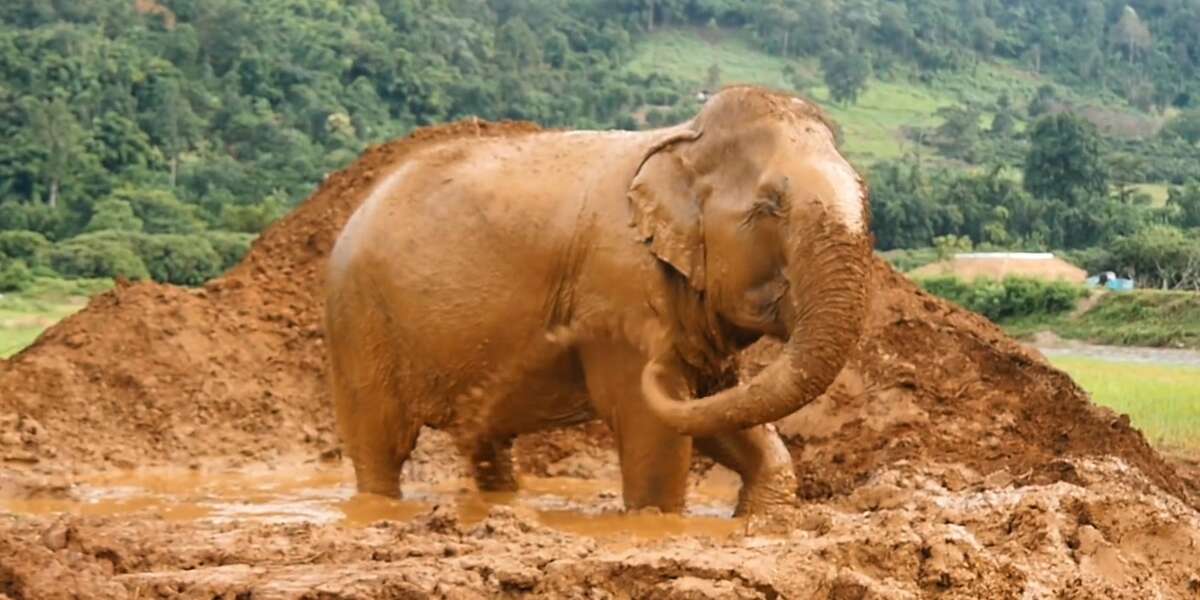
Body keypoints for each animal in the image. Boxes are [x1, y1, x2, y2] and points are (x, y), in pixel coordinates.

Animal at [324, 86, 872, 516]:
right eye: (770, 206)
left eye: (867, 197)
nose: (561, 330)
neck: (683, 144)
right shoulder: (620, 287)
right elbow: (654, 424)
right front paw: (656, 523)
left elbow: (713, 408)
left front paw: (757, 521)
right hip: (359, 323)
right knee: (380, 444)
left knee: (485, 441)